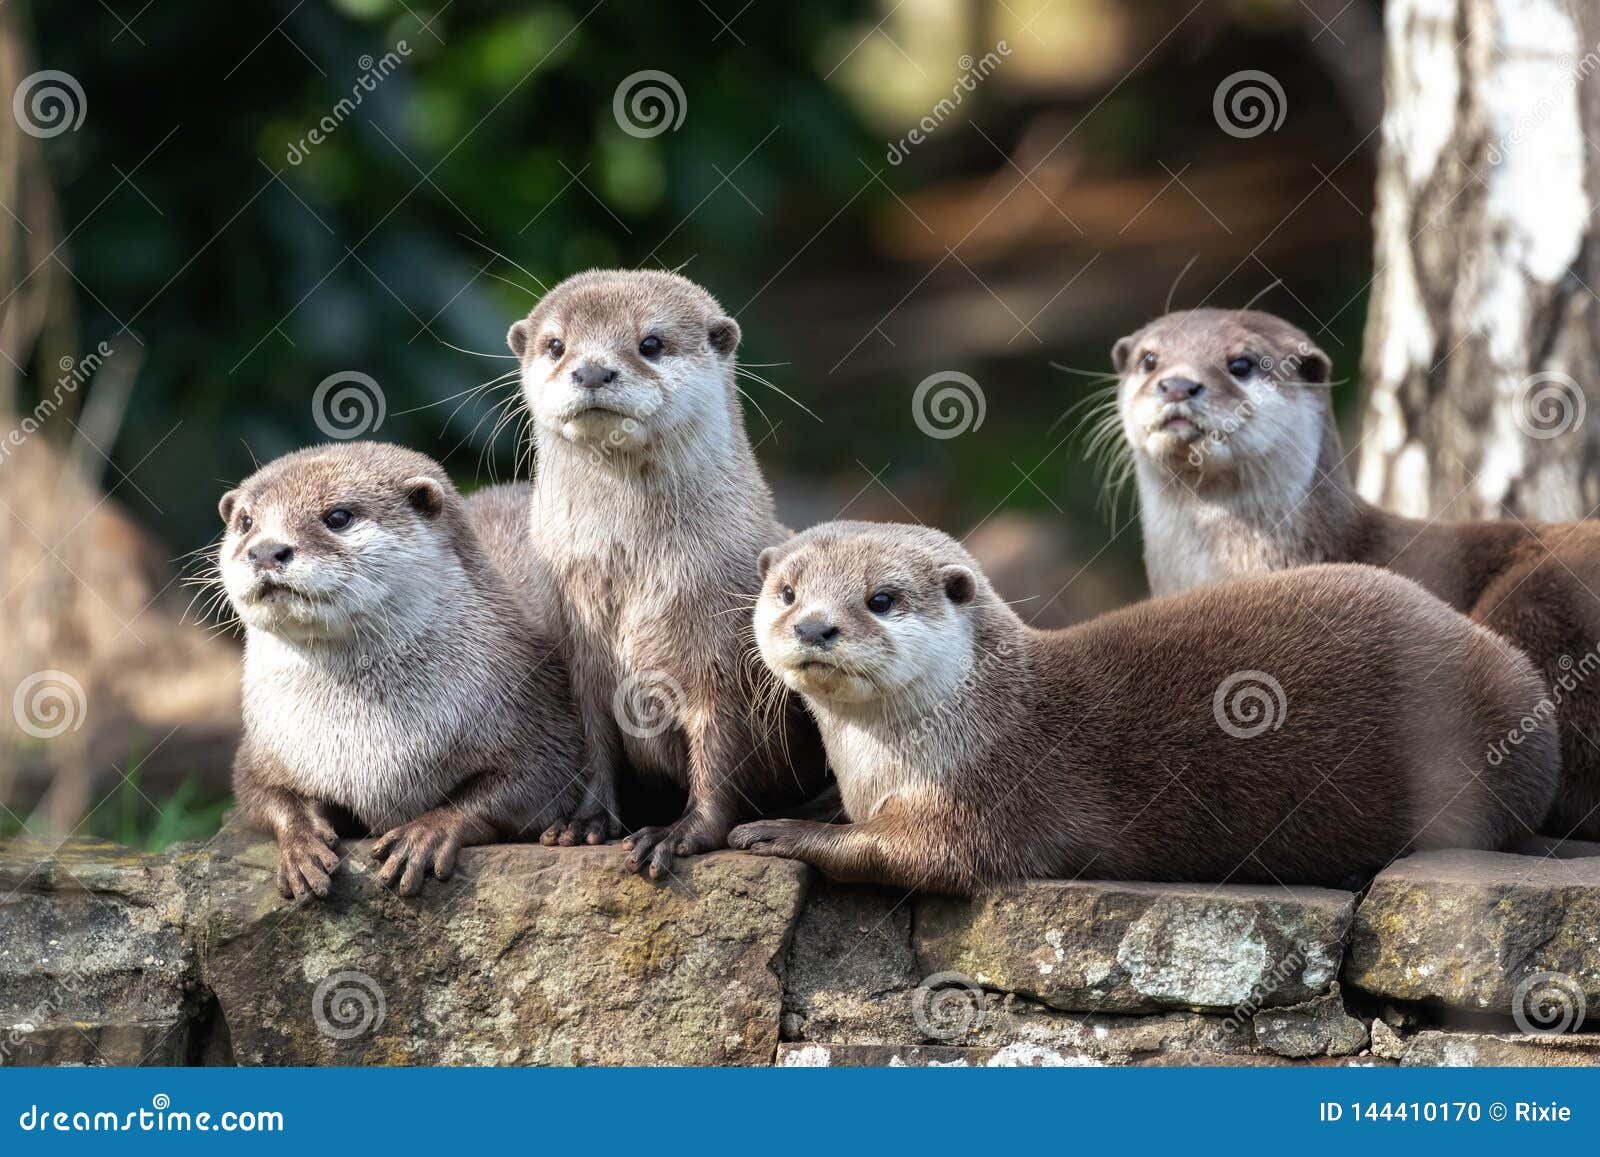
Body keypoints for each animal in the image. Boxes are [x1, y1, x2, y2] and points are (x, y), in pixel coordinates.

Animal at [220, 442, 584, 899]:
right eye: (246, 522)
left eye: (338, 516)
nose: (266, 550)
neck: (369, 744)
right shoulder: (265, 746)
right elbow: (262, 793)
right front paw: (301, 843)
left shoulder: (536, 711)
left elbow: (535, 783)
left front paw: (427, 832)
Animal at [509, 269, 828, 876]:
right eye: (556, 345)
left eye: (651, 343)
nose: (592, 370)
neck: (633, 579)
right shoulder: (578, 653)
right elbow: (595, 746)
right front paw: (587, 821)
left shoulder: (723, 658)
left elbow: (721, 755)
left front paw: (681, 832)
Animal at [727, 522, 1559, 895]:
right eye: (788, 591)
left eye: (881, 598)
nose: (814, 626)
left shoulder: (992, 795)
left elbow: (923, 857)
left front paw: (778, 831)